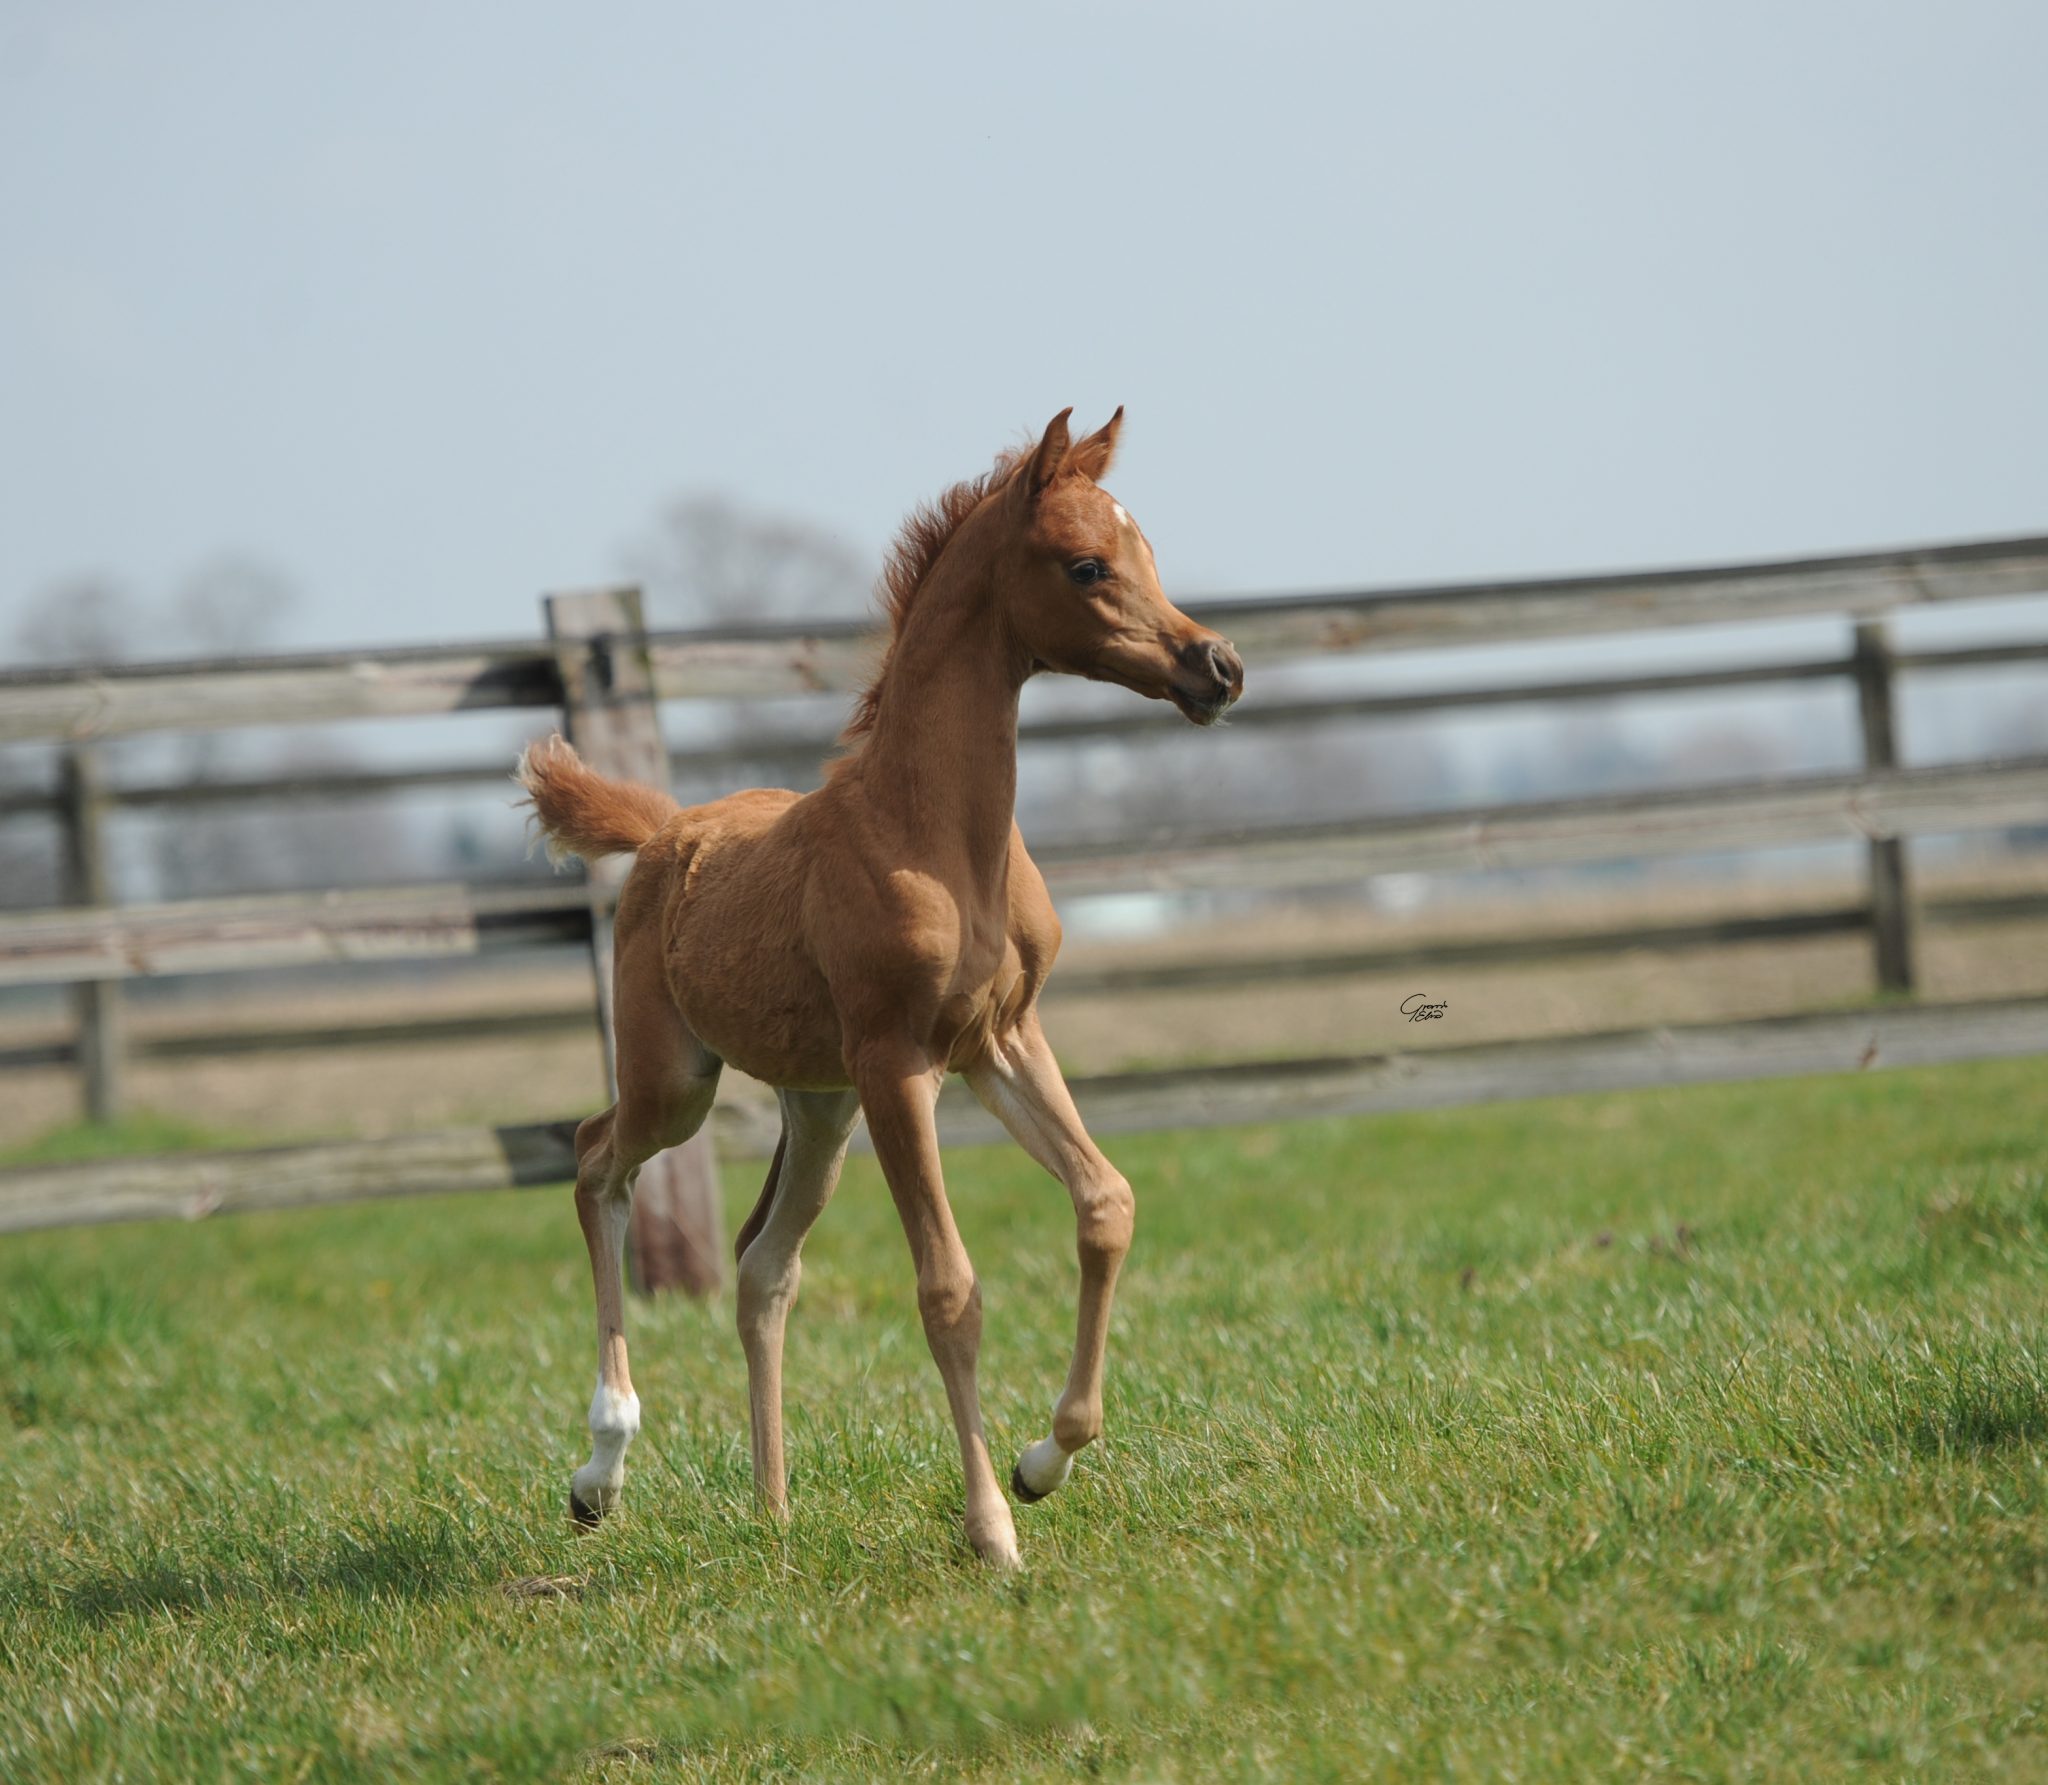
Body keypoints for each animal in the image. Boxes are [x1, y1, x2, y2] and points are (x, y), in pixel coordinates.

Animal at [517, 407, 1243, 1567]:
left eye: (1148, 555)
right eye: (1086, 565)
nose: (1217, 667)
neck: (934, 833)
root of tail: (667, 831)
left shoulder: (1000, 1041)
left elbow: (1106, 1204)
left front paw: (1045, 1461)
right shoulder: (901, 1060)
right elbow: (949, 1288)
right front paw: (993, 1528)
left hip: (819, 1107)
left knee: (762, 1262)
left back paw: (771, 1512)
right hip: (679, 1081)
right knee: (596, 1163)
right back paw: (601, 1467)